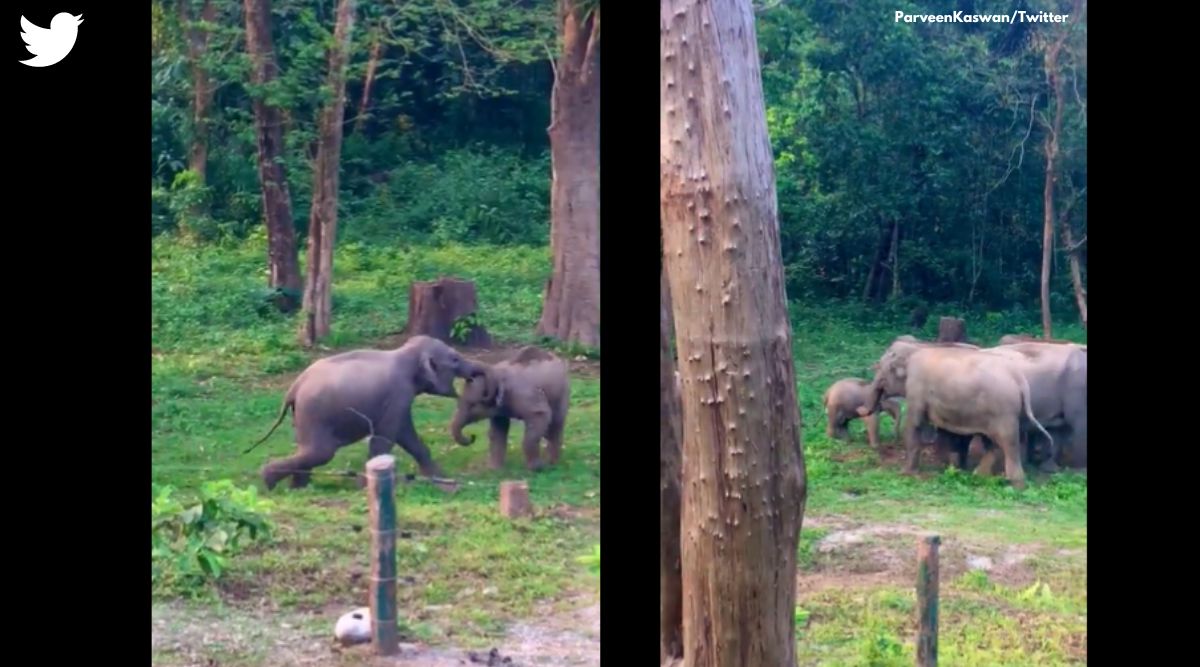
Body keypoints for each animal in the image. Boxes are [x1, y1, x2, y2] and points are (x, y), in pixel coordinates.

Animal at [249, 335, 486, 490]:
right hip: (313, 414)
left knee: (307, 450)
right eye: (455, 359)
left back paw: (298, 487)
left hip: (302, 416)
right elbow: (387, 436)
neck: (406, 352)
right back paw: (268, 481)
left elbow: (406, 435)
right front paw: (368, 485)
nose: (473, 436)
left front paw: (441, 478)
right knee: (321, 452)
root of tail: (295, 386)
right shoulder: (398, 394)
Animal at [858, 343, 1053, 490]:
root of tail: (1020, 381)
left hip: (1003, 411)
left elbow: (914, 424)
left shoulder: (916, 387)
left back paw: (1016, 485)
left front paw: (906, 474)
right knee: (995, 443)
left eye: (882, 375)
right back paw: (979, 476)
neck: (916, 348)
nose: (861, 409)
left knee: (1008, 442)